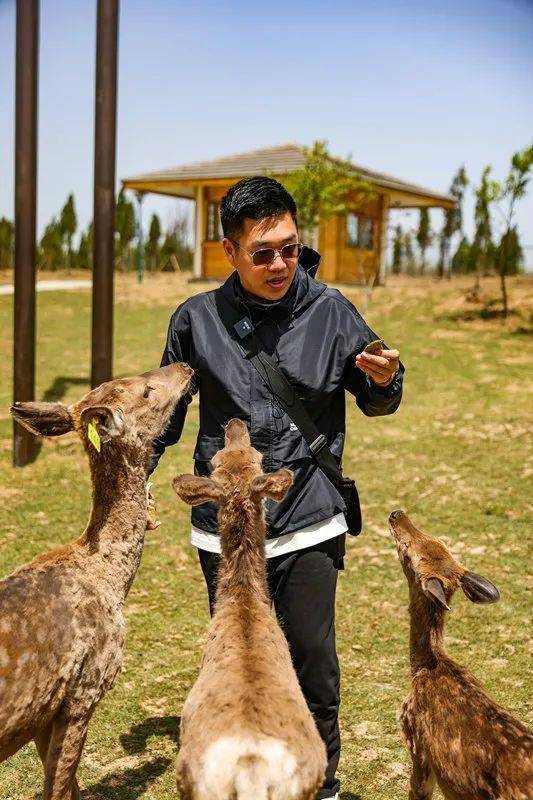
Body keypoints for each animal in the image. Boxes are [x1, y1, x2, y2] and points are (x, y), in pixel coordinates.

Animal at [2, 362, 193, 800]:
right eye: (146, 391)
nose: (184, 366)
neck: (109, 580)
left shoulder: (43, 711)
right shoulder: (84, 688)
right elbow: (61, 787)